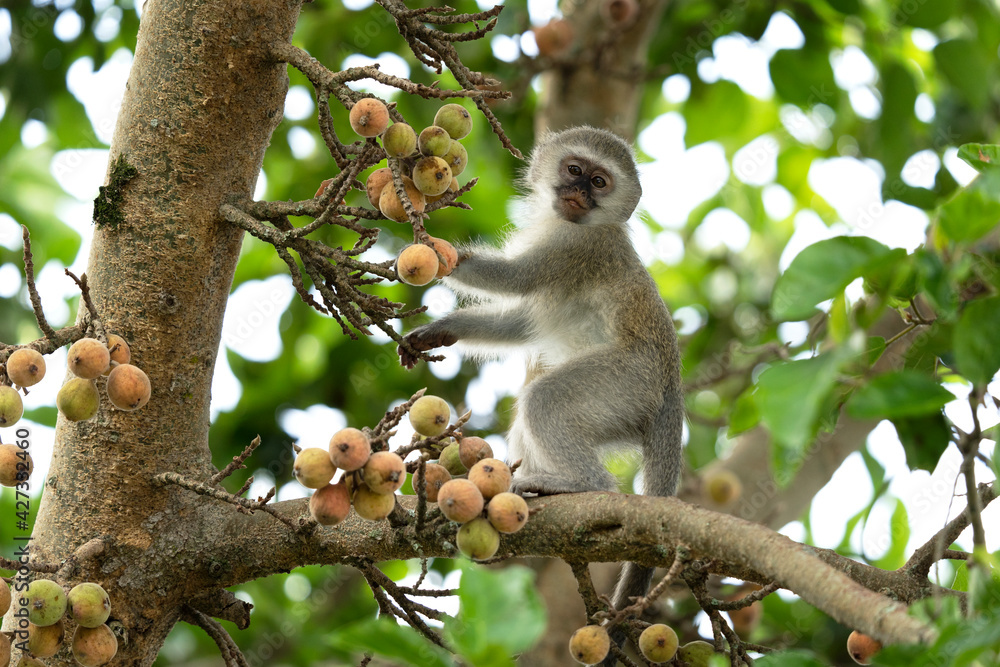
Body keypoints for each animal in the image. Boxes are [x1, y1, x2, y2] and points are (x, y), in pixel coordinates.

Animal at [397, 126, 684, 664]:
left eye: (599, 181)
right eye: (574, 170)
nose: (579, 193)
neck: (572, 222)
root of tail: (670, 386)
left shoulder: (576, 248)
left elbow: (517, 280)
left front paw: (436, 245)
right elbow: (520, 322)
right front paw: (442, 330)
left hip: (625, 383)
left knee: (545, 399)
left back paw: (580, 486)